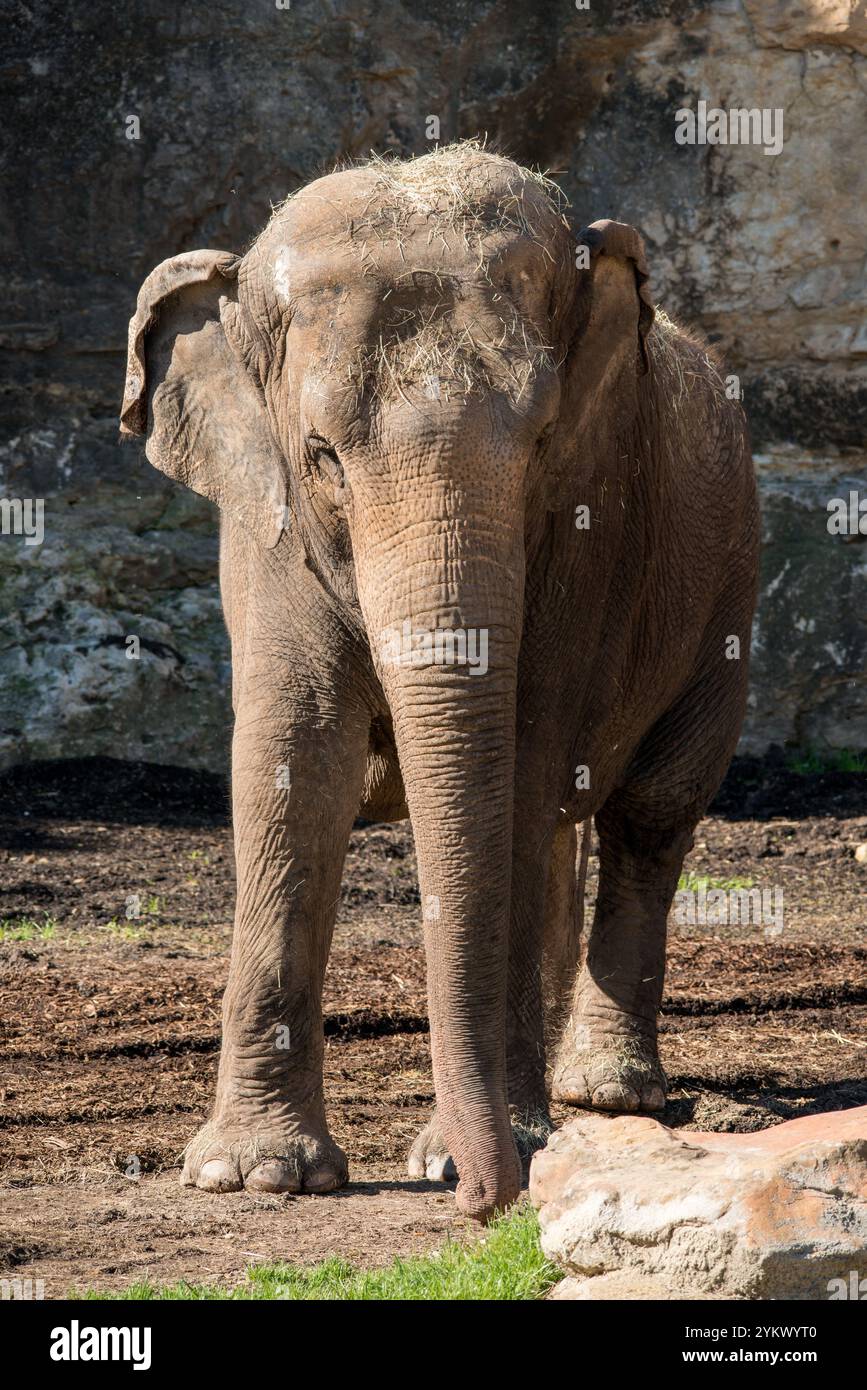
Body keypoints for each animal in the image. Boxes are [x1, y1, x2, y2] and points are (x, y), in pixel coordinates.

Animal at [121, 141, 759, 1221]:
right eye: (321, 455)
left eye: (541, 444)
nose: (478, 1198)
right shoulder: (264, 533)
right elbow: (291, 768)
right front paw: (255, 1175)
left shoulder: (586, 532)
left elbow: (523, 761)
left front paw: (506, 1145)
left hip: (731, 589)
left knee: (650, 812)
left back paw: (602, 1095)